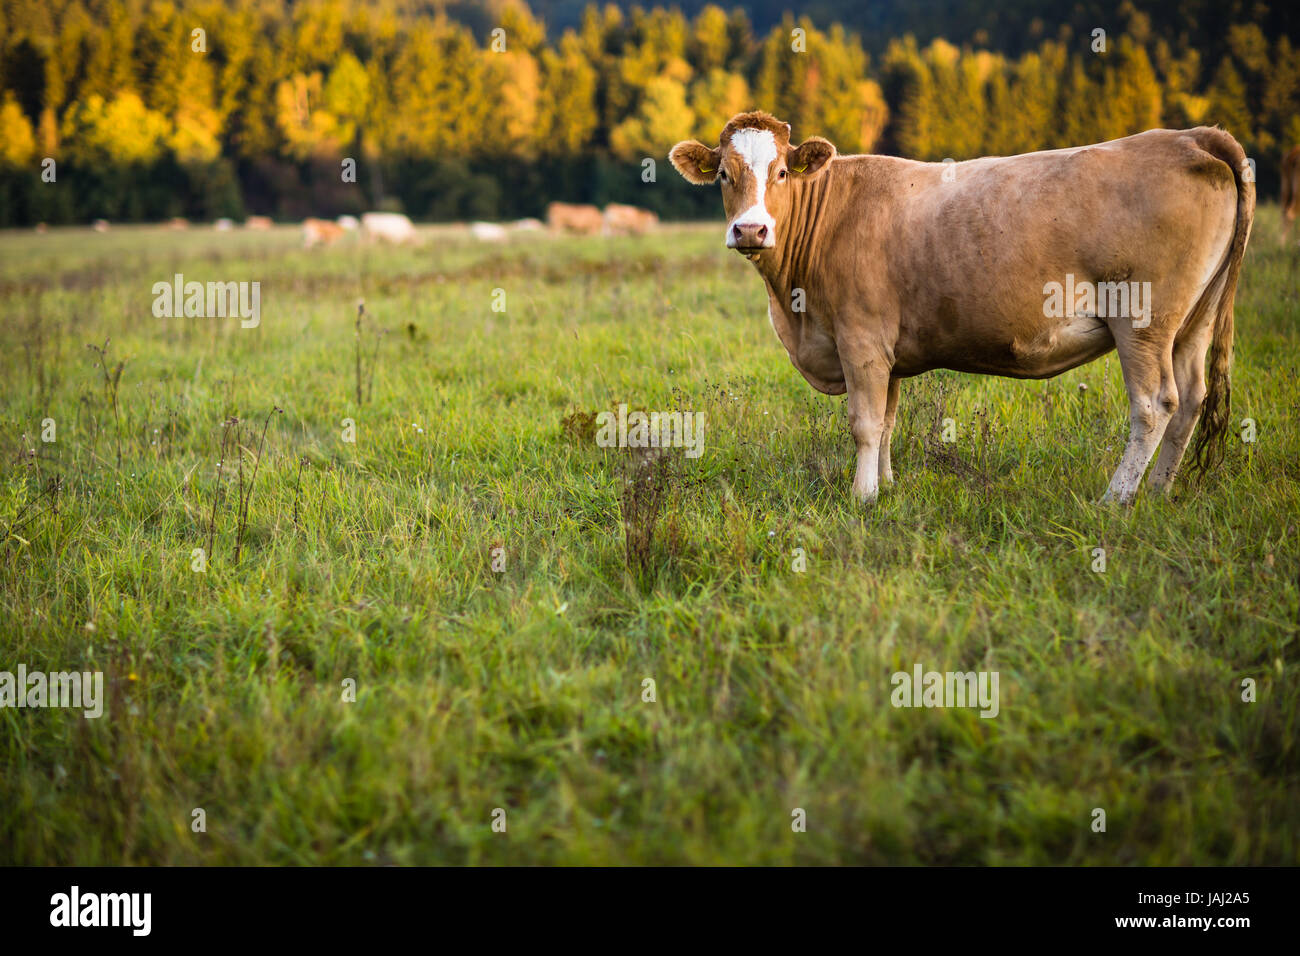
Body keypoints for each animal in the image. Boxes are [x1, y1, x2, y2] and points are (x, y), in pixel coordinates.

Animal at [670, 111, 1254, 504]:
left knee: (1155, 404)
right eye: (723, 175)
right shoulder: (888, 351)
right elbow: (888, 421)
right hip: (1193, 322)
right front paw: (888, 487)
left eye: (782, 174)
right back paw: (1157, 493)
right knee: (1192, 400)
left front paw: (862, 497)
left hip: (1143, 321)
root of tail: (1186, 135)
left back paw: (1116, 499)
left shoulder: (860, 340)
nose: (750, 230)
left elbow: (864, 422)